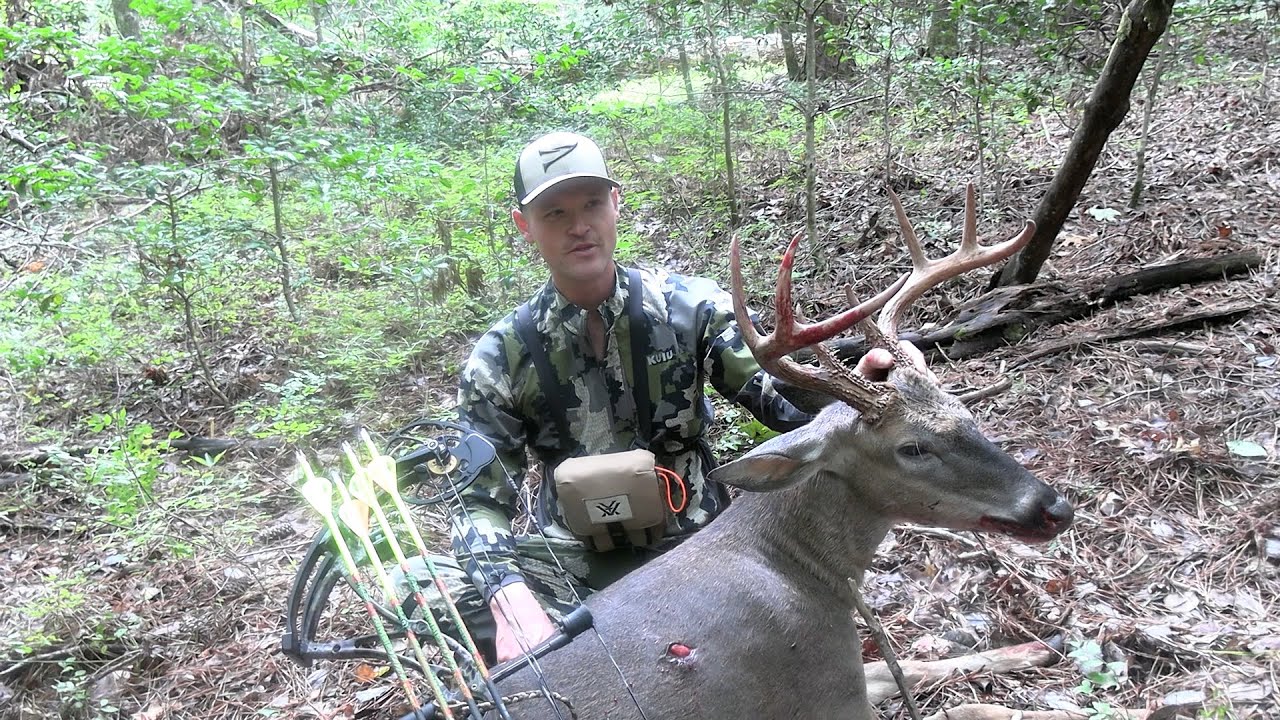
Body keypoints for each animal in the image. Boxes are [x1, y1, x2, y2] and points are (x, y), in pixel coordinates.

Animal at [476, 185, 1075, 720]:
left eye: (964, 411)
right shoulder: (826, 682)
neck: (808, 574)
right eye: (912, 448)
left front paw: (1040, 648)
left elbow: (912, 665)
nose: (1055, 508)